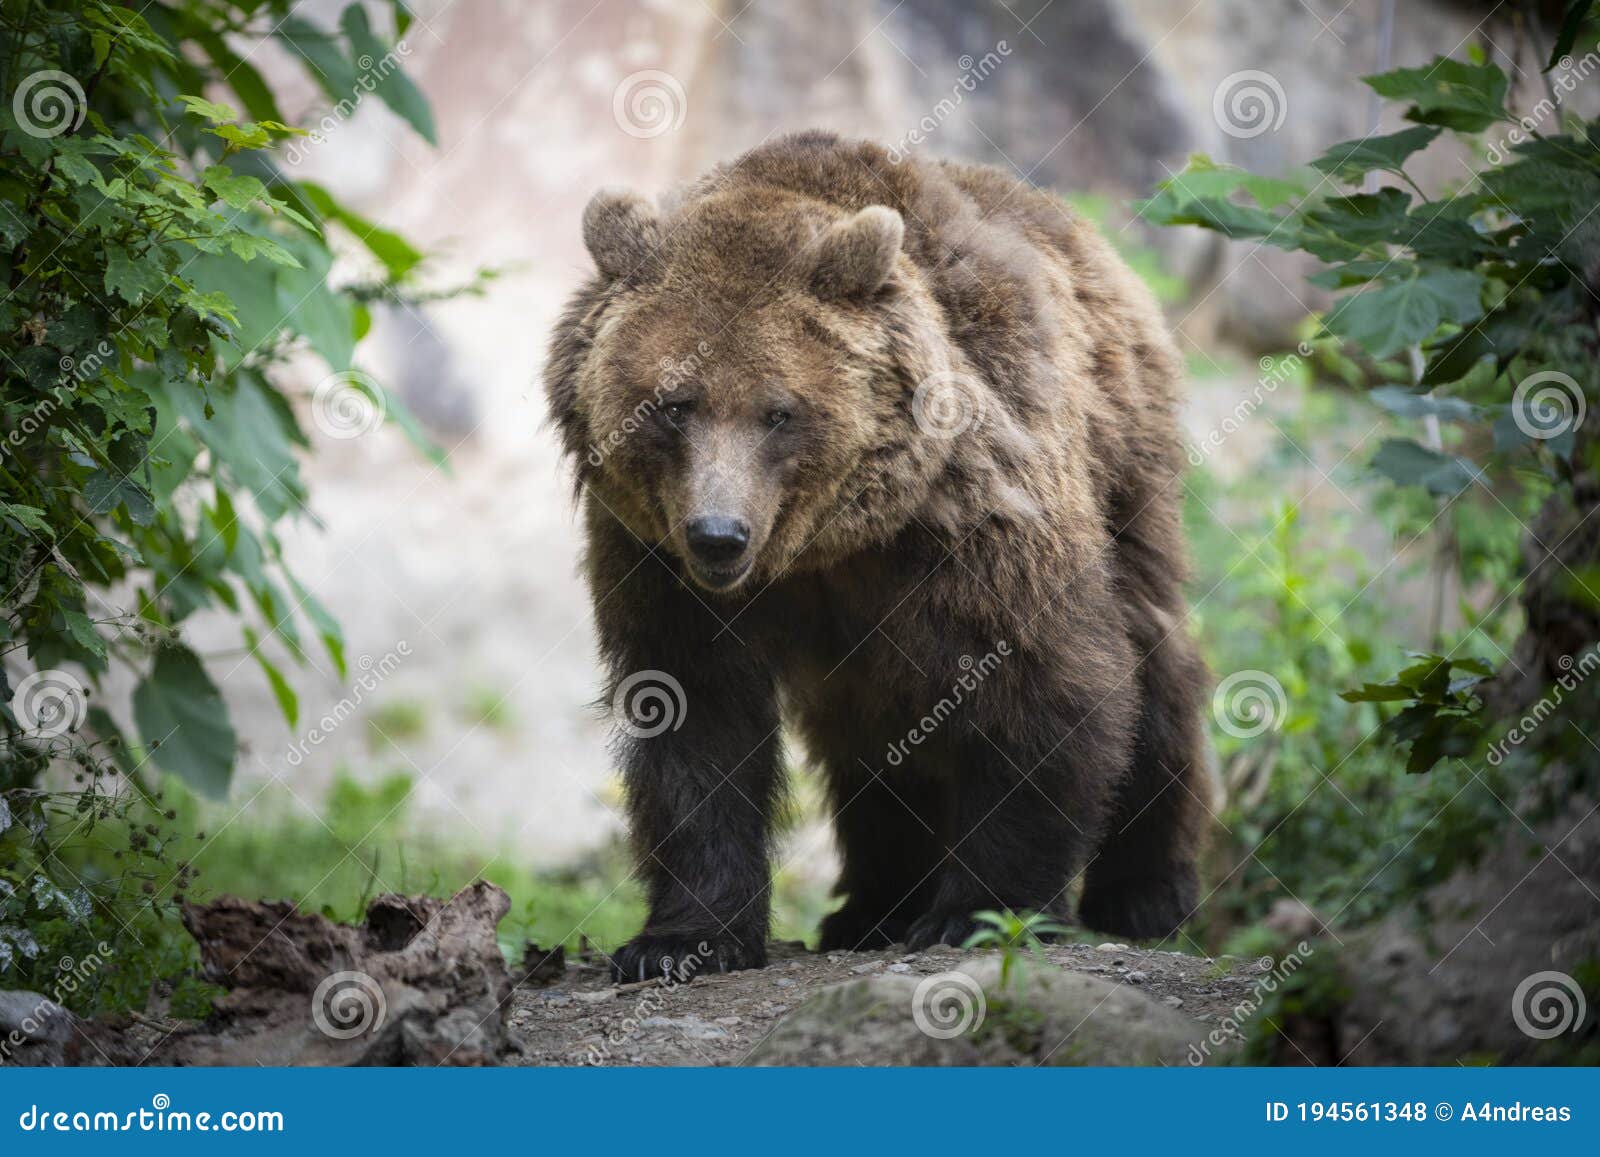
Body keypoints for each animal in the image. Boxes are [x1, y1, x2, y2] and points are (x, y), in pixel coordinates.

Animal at [544, 131, 1210, 981]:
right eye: (671, 405)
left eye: (778, 411)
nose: (718, 533)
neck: (824, 546)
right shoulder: (653, 558)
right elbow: (697, 715)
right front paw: (681, 938)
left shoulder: (972, 516)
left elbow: (1040, 682)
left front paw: (975, 912)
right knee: (873, 733)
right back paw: (871, 907)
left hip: (1123, 461)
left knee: (1153, 651)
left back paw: (1146, 892)